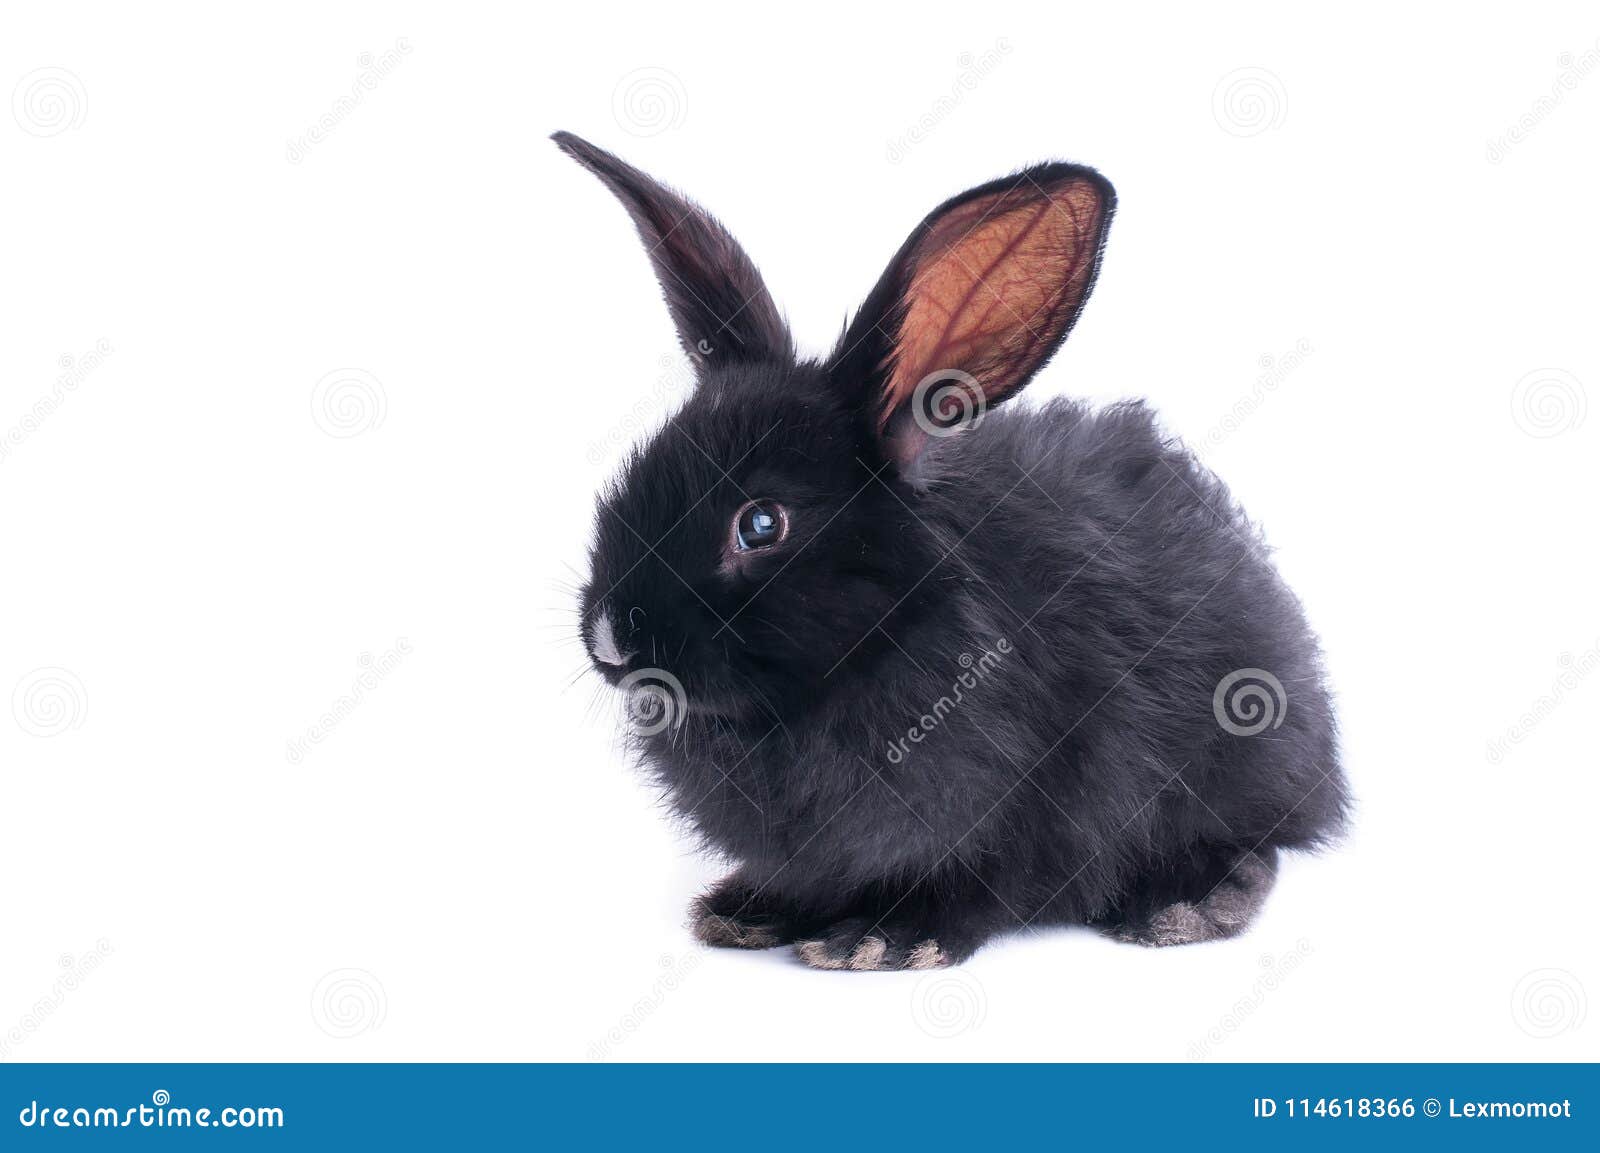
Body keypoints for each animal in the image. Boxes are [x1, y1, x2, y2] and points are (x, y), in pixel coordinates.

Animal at [556, 130, 1348, 970]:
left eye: (762, 525)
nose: (610, 639)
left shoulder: (1035, 799)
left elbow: (982, 885)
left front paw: (881, 938)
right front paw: (749, 909)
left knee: (1253, 846)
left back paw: (1183, 903)